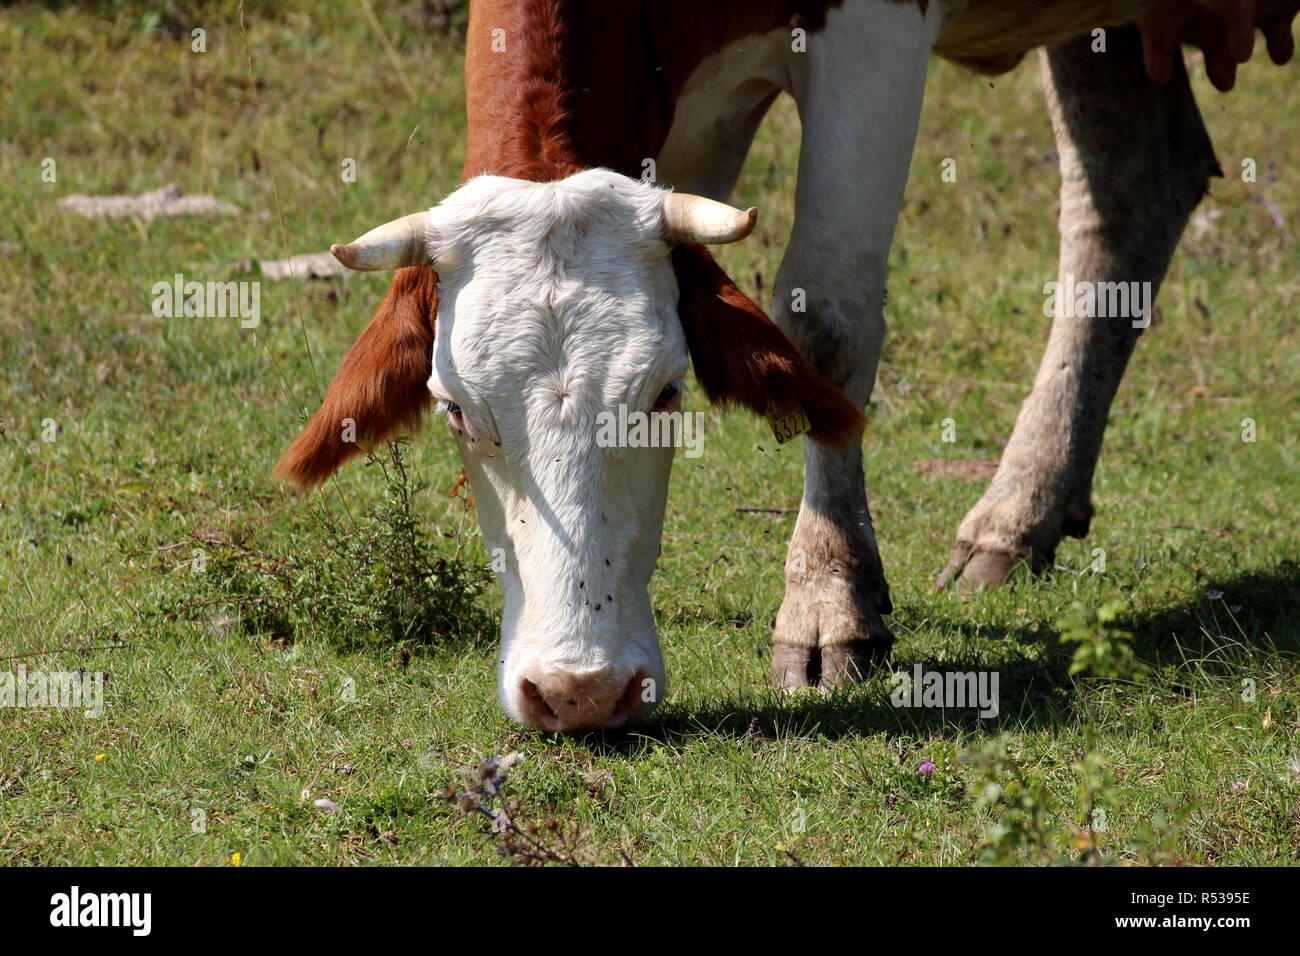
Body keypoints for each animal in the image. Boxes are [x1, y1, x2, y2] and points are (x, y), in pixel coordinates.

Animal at [276, 0, 1297, 731]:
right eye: (456, 412)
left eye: (667, 392)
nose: (578, 693)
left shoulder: (873, 31)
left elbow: (828, 324)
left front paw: (826, 600)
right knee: (1132, 185)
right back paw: (1021, 514)